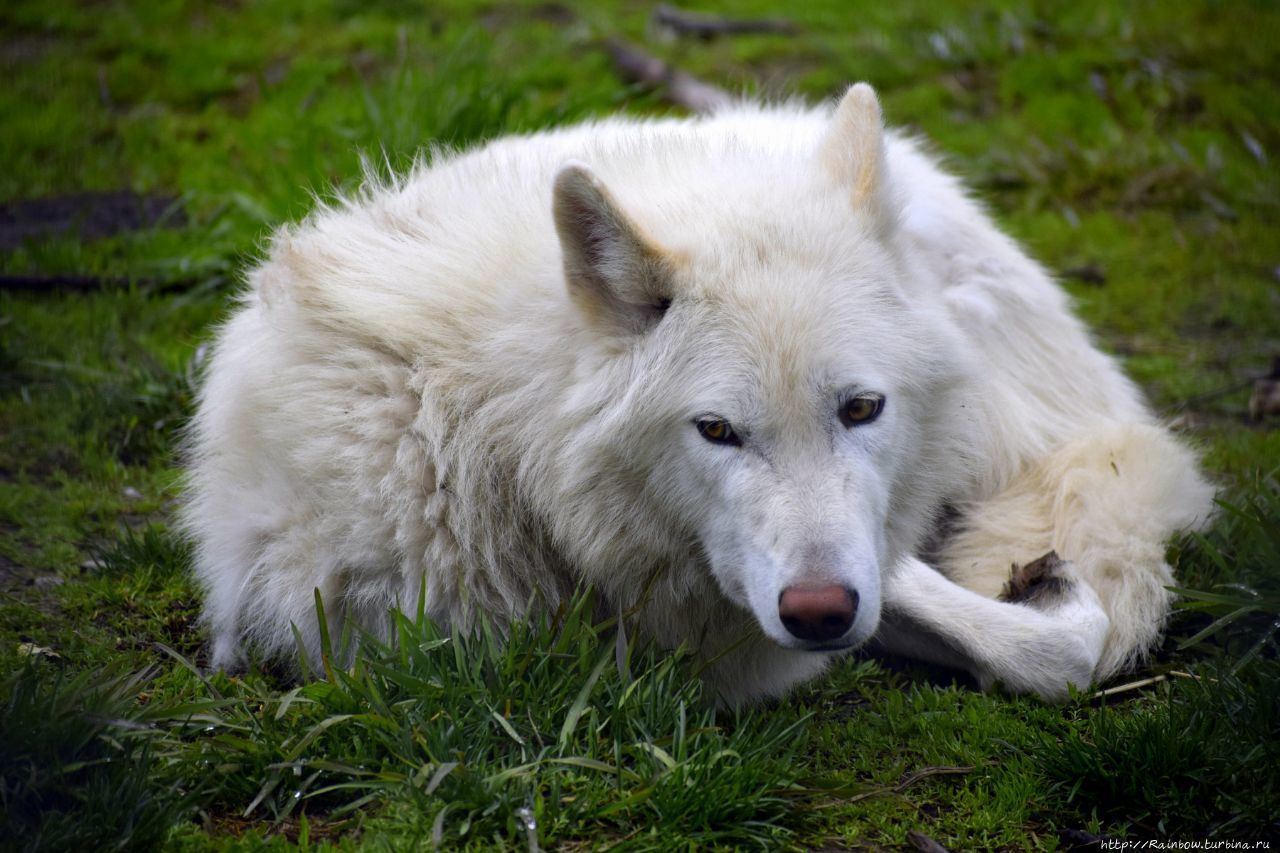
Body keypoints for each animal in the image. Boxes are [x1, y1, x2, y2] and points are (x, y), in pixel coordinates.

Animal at [180, 83, 1208, 701]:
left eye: (862, 409)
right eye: (716, 430)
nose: (820, 612)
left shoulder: (830, 579)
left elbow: (1057, 651)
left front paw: (1045, 595)